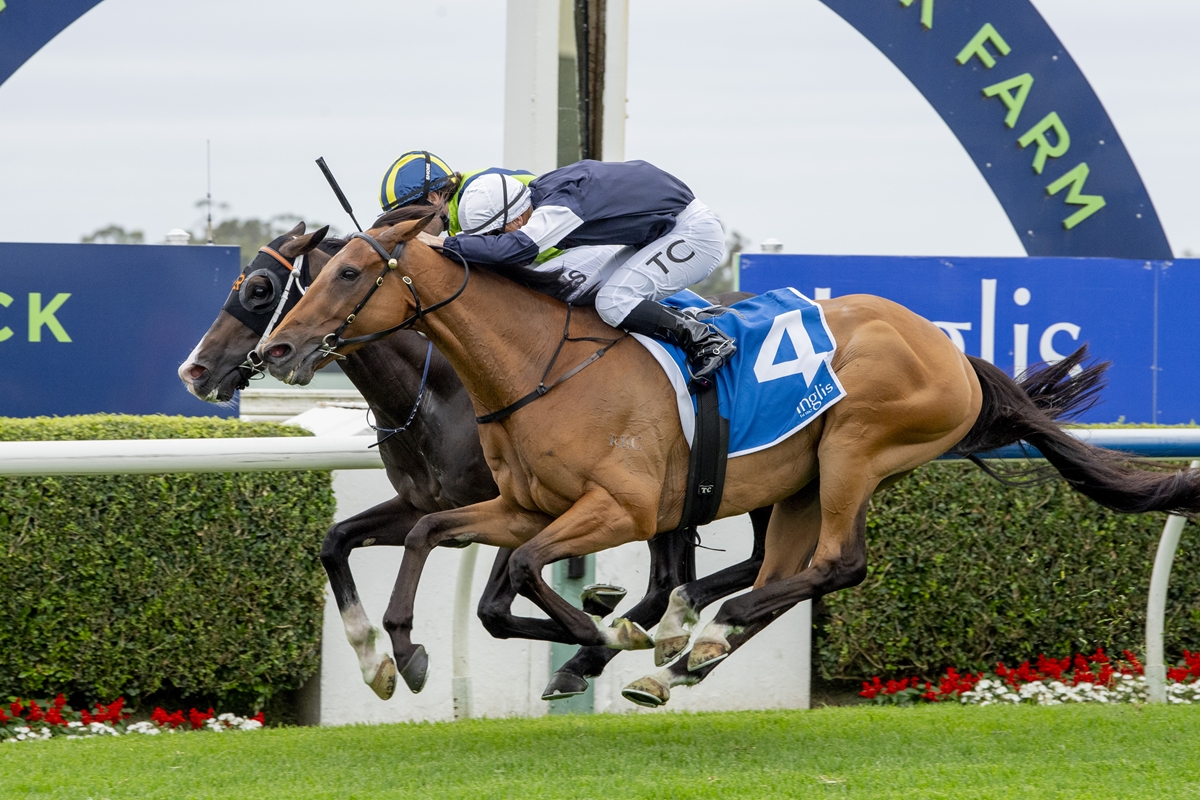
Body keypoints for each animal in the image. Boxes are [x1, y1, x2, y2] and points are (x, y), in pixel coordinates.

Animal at [178, 220, 770, 702]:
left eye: (260, 289)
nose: (194, 370)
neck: (441, 390)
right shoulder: (428, 503)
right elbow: (336, 540)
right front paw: (376, 661)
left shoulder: (519, 503)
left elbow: (493, 608)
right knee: (698, 571)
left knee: (697, 571)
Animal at [258, 214, 1200, 707]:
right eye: (305, 278)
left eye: (347, 274)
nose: (280, 348)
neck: (534, 369)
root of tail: (949, 350)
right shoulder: (519, 505)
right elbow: (445, 554)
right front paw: (395, 653)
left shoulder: (619, 509)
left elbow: (519, 574)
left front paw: (602, 640)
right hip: (798, 482)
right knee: (784, 573)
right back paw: (683, 651)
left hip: (855, 448)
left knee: (838, 564)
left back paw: (689, 638)